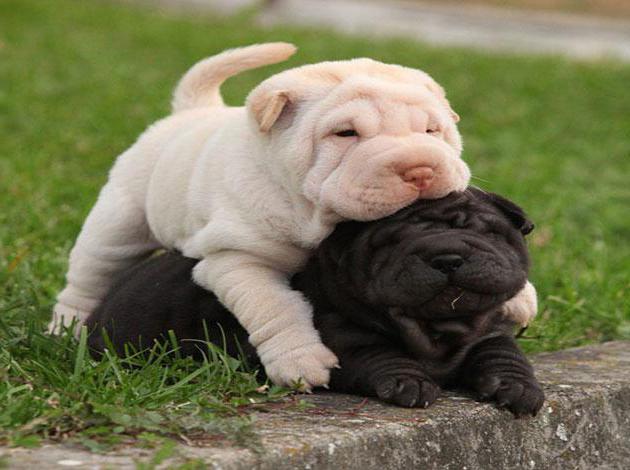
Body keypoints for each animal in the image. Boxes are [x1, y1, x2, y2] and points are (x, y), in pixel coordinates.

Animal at [50, 43, 540, 390]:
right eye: (345, 134)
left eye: (432, 130)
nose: (420, 169)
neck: (312, 217)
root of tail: (193, 110)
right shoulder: (236, 259)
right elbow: (275, 305)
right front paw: (301, 361)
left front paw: (522, 297)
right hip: (119, 221)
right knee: (89, 276)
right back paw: (63, 330)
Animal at [86, 189, 544, 416]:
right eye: (389, 243)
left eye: (487, 232)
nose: (447, 256)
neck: (437, 331)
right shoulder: (343, 341)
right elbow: (381, 356)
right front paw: (409, 383)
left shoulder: (489, 330)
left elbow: (504, 354)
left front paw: (519, 388)